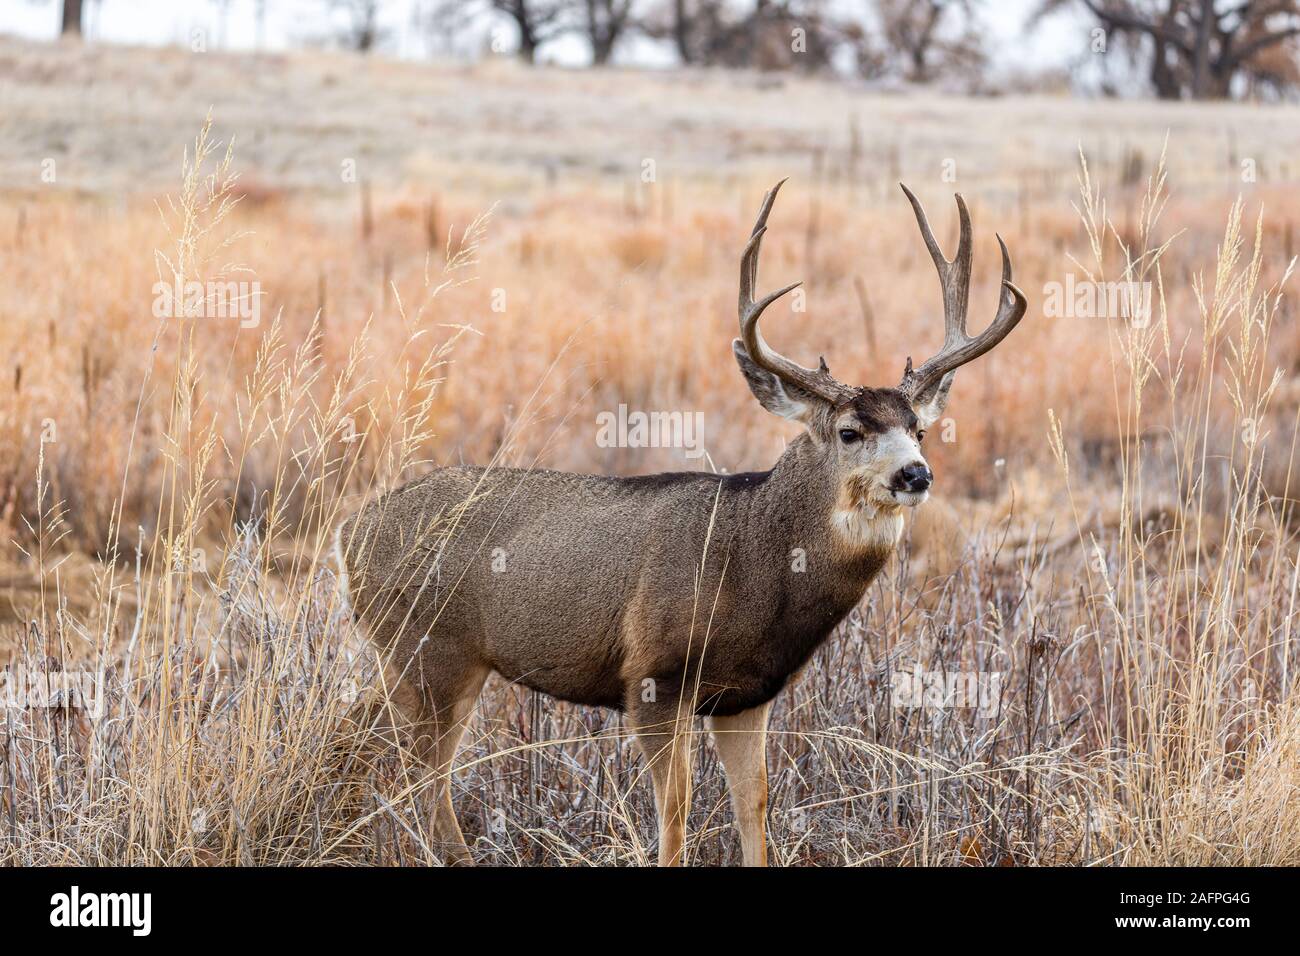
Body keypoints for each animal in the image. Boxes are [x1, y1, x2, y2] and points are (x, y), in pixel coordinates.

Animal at [337, 180, 1027, 866]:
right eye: (850, 431)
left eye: (920, 429)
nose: (915, 474)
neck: (754, 561)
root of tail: (352, 532)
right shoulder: (653, 676)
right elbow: (675, 812)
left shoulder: (748, 696)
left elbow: (755, 807)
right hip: (430, 647)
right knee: (421, 774)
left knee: (382, 751)